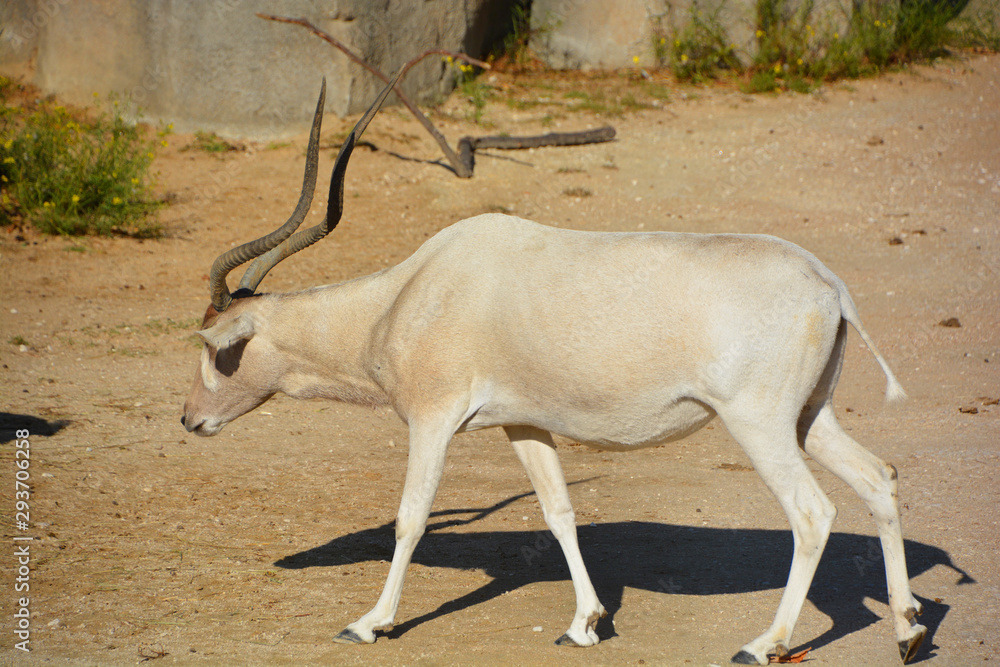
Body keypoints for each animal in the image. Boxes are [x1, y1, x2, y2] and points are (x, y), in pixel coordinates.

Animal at [181, 73, 926, 665]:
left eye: (215, 349)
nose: (189, 419)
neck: (405, 295)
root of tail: (828, 285)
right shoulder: (524, 425)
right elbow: (560, 510)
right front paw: (586, 622)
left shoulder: (433, 418)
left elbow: (410, 517)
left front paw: (369, 622)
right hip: (808, 418)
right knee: (879, 477)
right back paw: (909, 631)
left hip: (759, 424)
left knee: (812, 512)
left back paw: (763, 643)